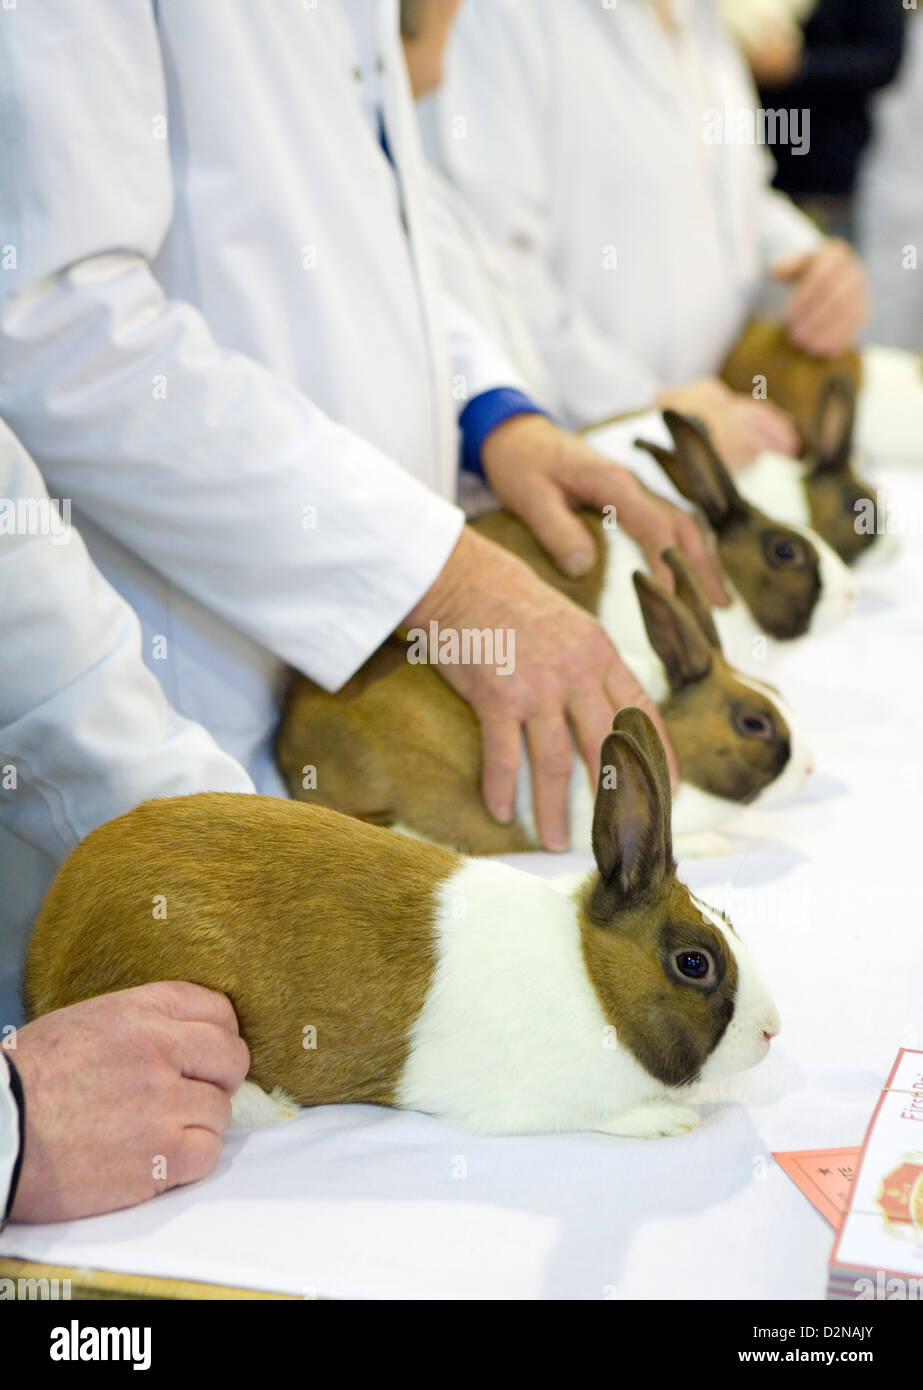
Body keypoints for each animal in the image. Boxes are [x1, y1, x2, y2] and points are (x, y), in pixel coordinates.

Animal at [25, 708, 781, 1139]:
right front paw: (671, 1121)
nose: (772, 1033)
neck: (593, 984)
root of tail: (48, 948)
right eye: (693, 962)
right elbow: (611, 1116)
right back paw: (276, 1108)